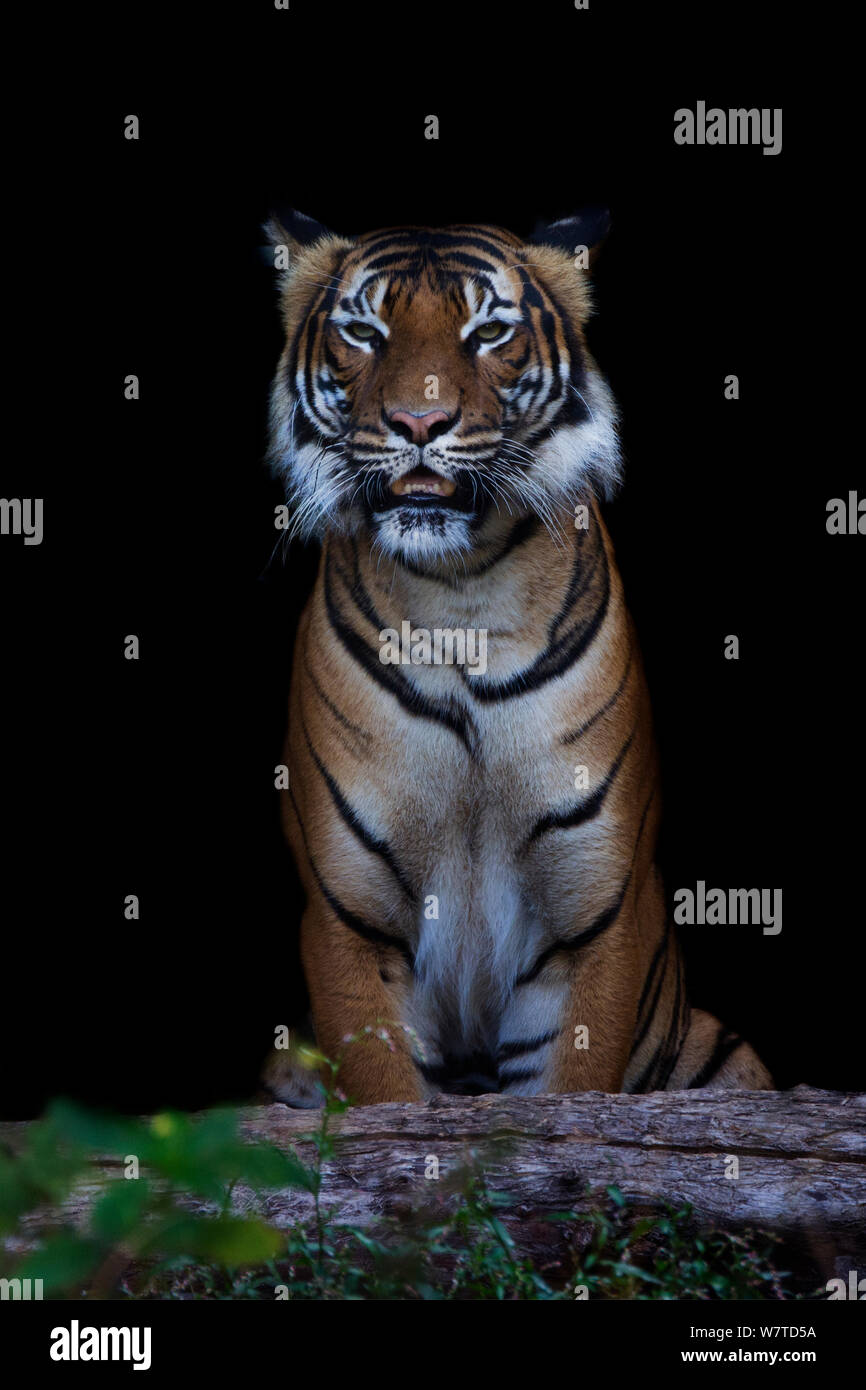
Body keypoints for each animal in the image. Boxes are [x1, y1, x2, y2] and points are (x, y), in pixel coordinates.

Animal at [261, 209, 773, 1106]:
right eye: (365, 332)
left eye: (488, 332)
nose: (417, 424)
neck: (457, 592)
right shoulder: (345, 917)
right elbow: (382, 1090)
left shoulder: (598, 912)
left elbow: (576, 1087)